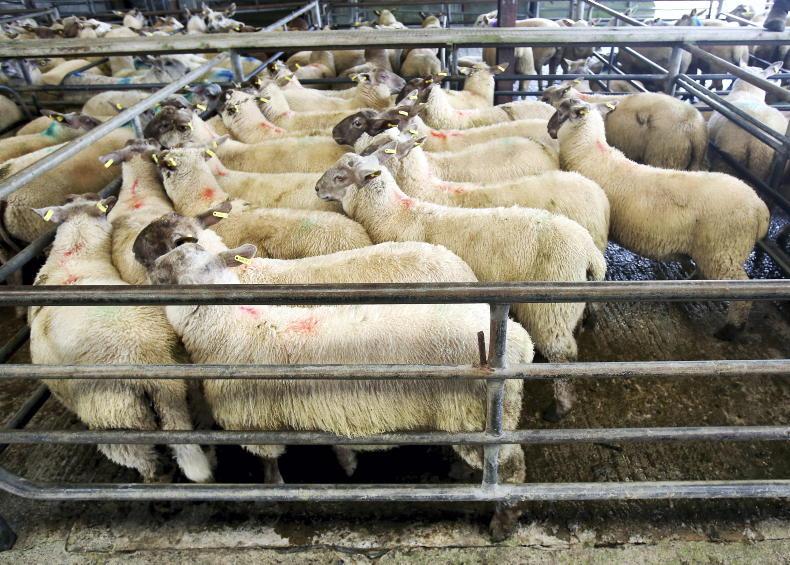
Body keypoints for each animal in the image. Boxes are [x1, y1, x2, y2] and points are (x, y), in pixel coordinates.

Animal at [137, 230, 532, 539]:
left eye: (173, 269)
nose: (147, 267)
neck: (232, 325)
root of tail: (519, 344)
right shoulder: (324, 405)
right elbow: (333, 439)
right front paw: (348, 462)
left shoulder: (254, 420)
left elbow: (270, 464)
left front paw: (274, 491)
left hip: (475, 416)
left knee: (512, 466)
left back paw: (503, 521)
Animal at [317, 145, 607, 421]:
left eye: (341, 176)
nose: (317, 187)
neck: (395, 214)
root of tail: (590, 253)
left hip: (551, 309)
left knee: (563, 353)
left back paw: (559, 408)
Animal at [549, 98, 770, 339]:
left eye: (560, 112)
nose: (549, 129)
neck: (589, 151)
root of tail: (760, 208)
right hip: (714, 252)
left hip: (724, 250)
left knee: (742, 290)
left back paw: (730, 330)